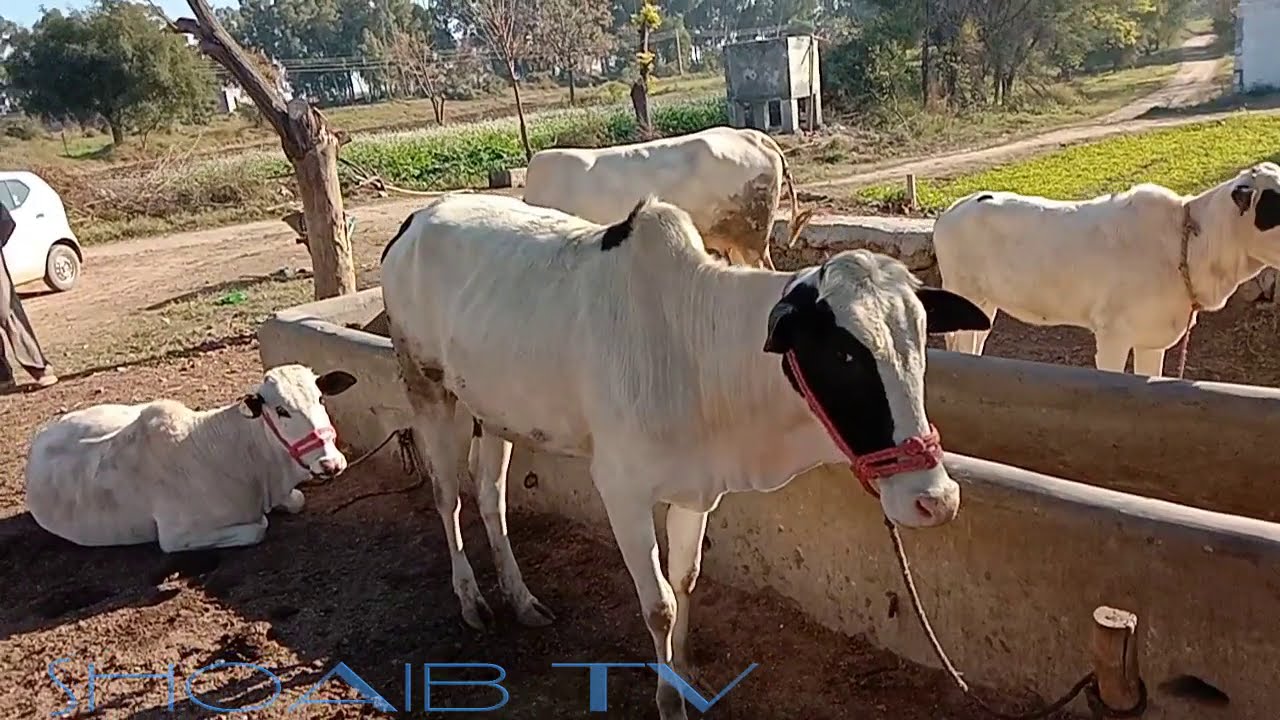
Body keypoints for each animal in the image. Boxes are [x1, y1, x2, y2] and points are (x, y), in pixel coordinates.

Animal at [23, 364, 358, 552]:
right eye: (281, 410)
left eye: (320, 398)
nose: (332, 463)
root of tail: (42, 435)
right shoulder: (176, 537)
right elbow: (259, 526)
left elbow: (296, 500)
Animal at [379, 192, 990, 720]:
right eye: (843, 355)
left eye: (919, 343)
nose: (935, 499)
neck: (695, 352)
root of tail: (419, 218)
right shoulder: (620, 490)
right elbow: (659, 605)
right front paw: (668, 700)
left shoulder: (696, 490)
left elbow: (685, 579)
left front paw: (687, 671)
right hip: (427, 390)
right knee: (447, 496)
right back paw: (471, 600)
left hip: (494, 411)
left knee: (490, 495)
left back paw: (522, 598)